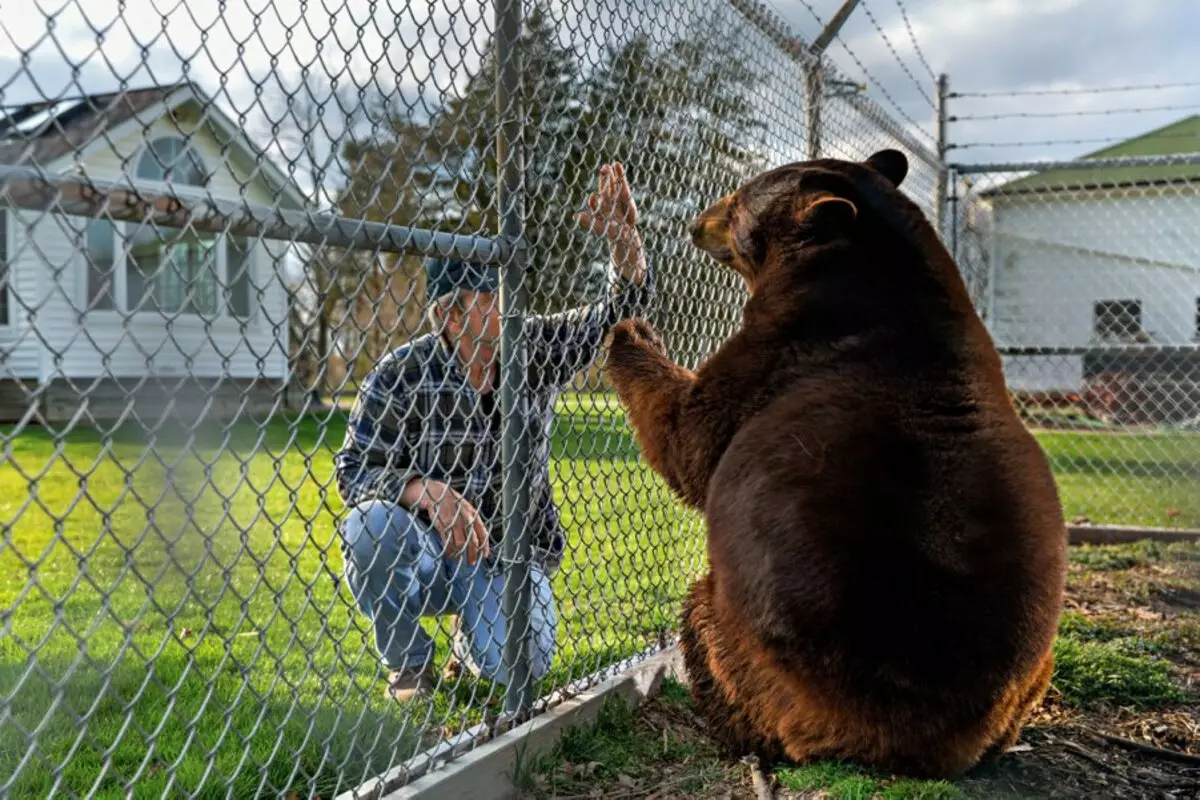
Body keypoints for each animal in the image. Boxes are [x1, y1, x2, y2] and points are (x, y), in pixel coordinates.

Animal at [604, 146, 1065, 777]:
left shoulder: (773, 357)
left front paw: (632, 332)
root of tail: (921, 744)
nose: (697, 222)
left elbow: (688, 444)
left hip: (755, 662)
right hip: (1031, 672)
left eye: (738, 199)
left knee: (705, 627)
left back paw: (730, 733)